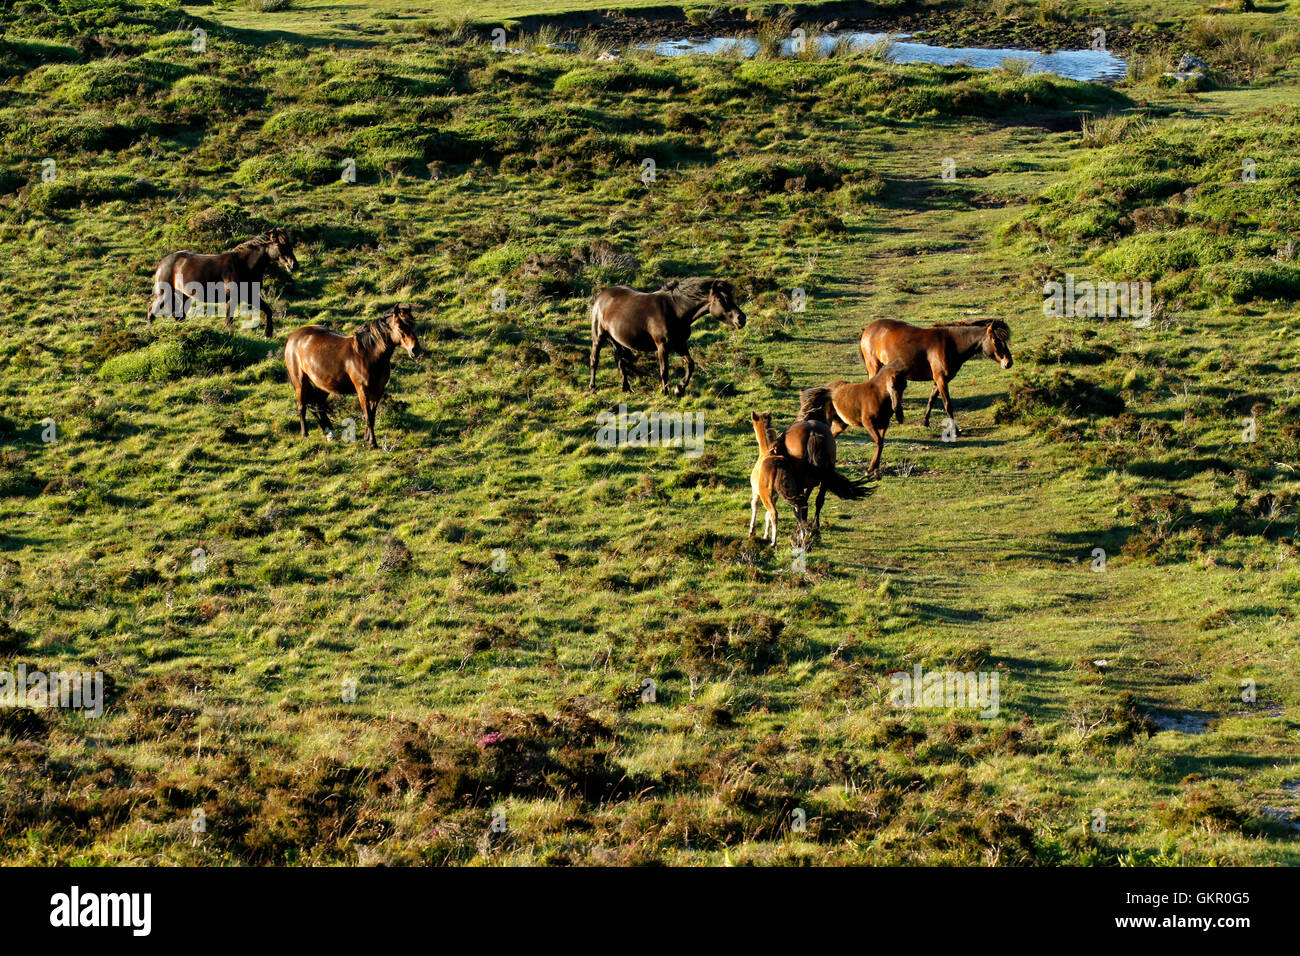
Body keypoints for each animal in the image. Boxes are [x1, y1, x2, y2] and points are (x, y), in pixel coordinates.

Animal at [147, 228, 298, 338]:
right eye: (279, 244)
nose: (293, 265)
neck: (243, 264)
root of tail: (162, 262)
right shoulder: (233, 298)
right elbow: (229, 320)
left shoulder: (249, 296)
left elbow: (268, 310)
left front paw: (268, 334)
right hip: (164, 294)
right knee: (151, 312)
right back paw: (149, 333)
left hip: (184, 296)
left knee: (178, 315)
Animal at [284, 305, 421, 449]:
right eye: (399, 326)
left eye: (412, 324)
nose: (415, 350)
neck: (368, 355)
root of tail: (293, 337)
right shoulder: (362, 390)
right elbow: (368, 416)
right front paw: (372, 443)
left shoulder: (378, 390)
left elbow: (372, 415)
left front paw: (367, 439)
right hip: (300, 382)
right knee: (302, 407)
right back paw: (305, 434)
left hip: (324, 385)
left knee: (317, 405)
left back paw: (329, 433)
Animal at [589, 277, 746, 396]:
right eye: (720, 299)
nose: (742, 319)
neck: (674, 310)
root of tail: (600, 297)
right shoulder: (662, 346)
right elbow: (664, 370)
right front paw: (665, 392)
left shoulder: (680, 343)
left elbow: (690, 364)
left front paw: (679, 389)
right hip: (599, 336)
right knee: (594, 360)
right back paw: (593, 387)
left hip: (616, 340)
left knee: (620, 360)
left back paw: (626, 388)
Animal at [858, 318, 1012, 436]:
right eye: (996, 341)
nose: (1008, 362)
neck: (951, 344)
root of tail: (867, 329)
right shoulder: (941, 380)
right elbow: (948, 404)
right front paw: (955, 430)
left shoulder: (938, 380)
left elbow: (932, 400)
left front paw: (925, 422)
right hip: (874, 367)